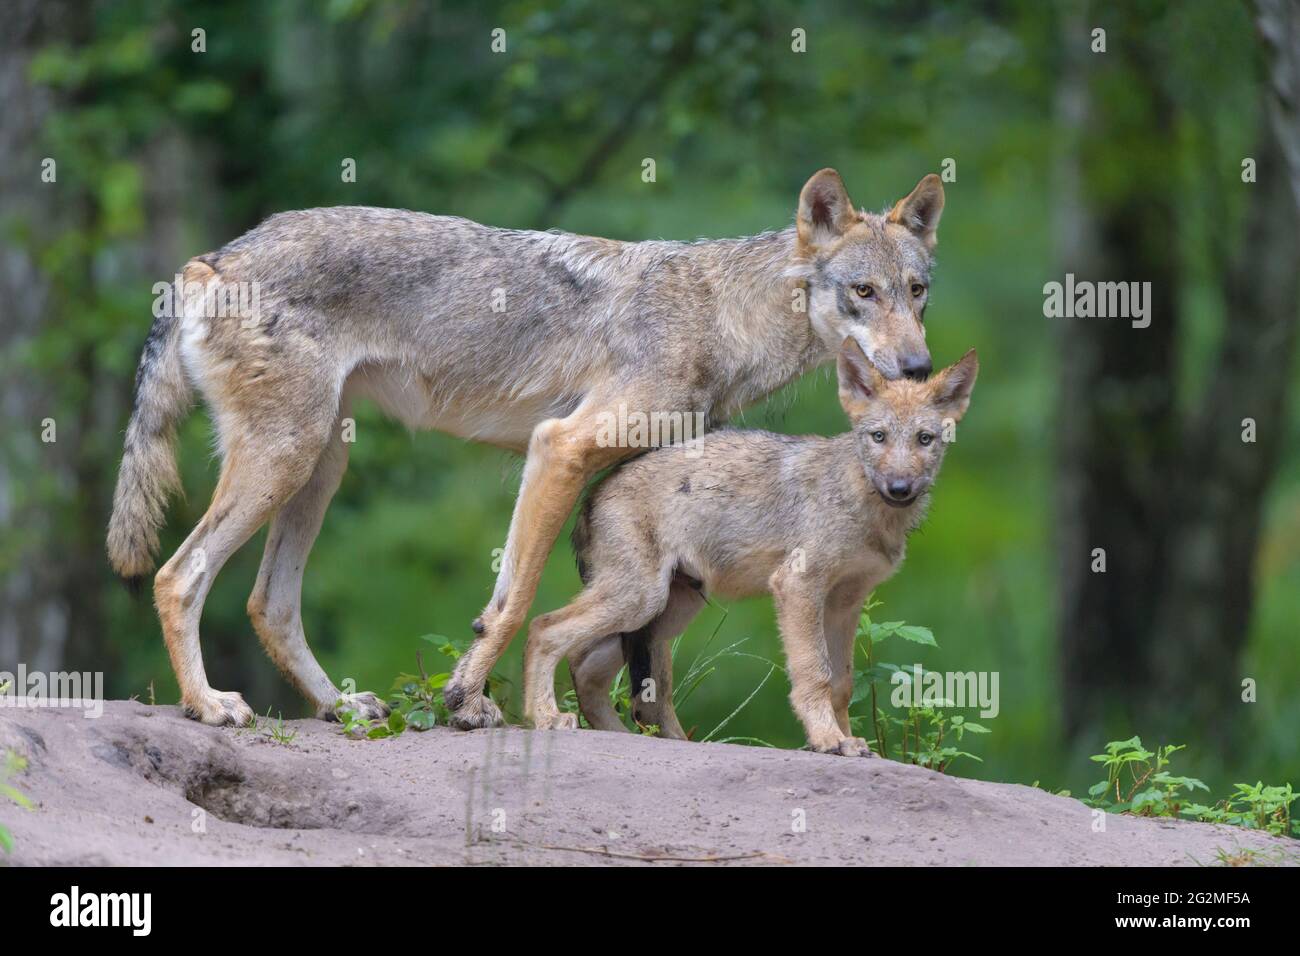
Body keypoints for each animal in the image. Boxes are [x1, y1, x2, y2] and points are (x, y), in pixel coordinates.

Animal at [106, 168, 944, 728]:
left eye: (917, 292)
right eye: (863, 293)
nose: (916, 369)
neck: (722, 318)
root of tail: (210, 258)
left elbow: (639, 652)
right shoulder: (559, 448)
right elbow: (516, 606)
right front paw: (475, 701)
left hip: (320, 463)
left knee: (268, 604)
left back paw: (340, 707)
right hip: (287, 458)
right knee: (178, 577)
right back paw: (209, 705)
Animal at [527, 339, 978, 753]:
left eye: (924, 439)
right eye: (879, 437)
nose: (899, 487)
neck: (864, 505)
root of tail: (593, 492)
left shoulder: (846, 602)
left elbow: (843, 683)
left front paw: (847, 741)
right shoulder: (797, 587)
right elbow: (815, 674)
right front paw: (828, 740)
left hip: (663, 614)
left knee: (588, 669)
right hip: (639, 600)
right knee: (543, 629)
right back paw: (546, 718)